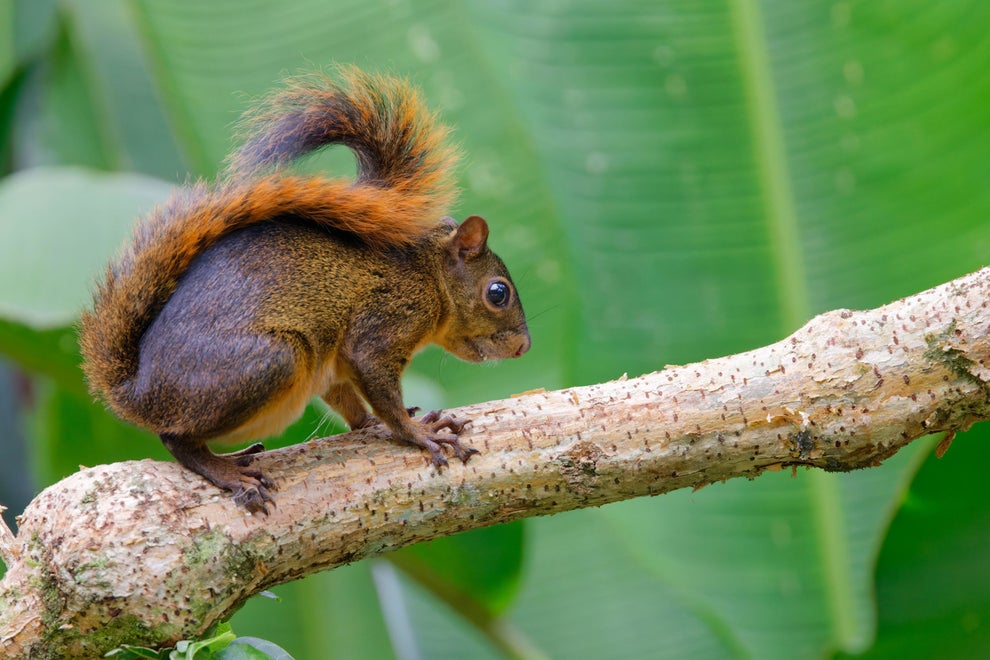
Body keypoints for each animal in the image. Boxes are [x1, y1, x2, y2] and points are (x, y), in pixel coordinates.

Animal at [78, 67, 531, 513]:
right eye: (498, 293)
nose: (524, 347)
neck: (431, 279)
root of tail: (138, 392)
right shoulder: (385, 323)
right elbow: (381, 390)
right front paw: (418, 432)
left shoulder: (335, 367)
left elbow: (349, 401)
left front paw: (374, 424)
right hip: (272, 362)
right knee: (176, 438)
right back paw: (227, 470)